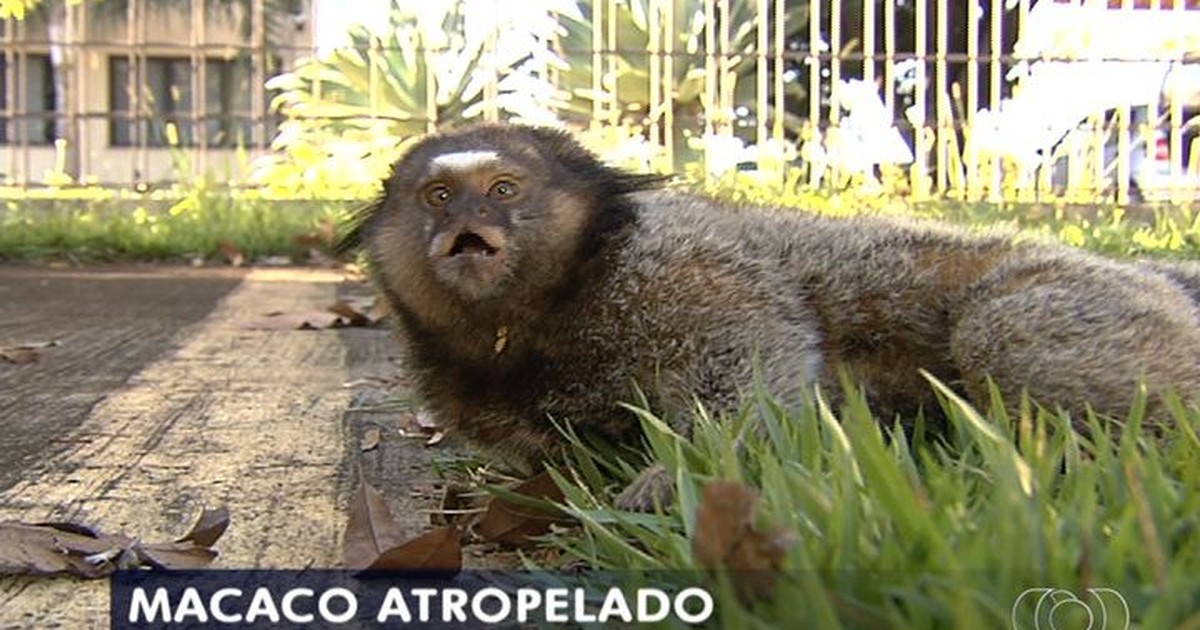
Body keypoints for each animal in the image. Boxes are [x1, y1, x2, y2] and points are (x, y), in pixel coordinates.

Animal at [343, 122, 1200, 510]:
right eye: (438, 195)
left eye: (504, 190)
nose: (465, 222)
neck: (539, 317)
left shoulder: (672, 269)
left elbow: (757, 351)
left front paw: (672, 477)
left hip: (1077, 295)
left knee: (1000, 335)